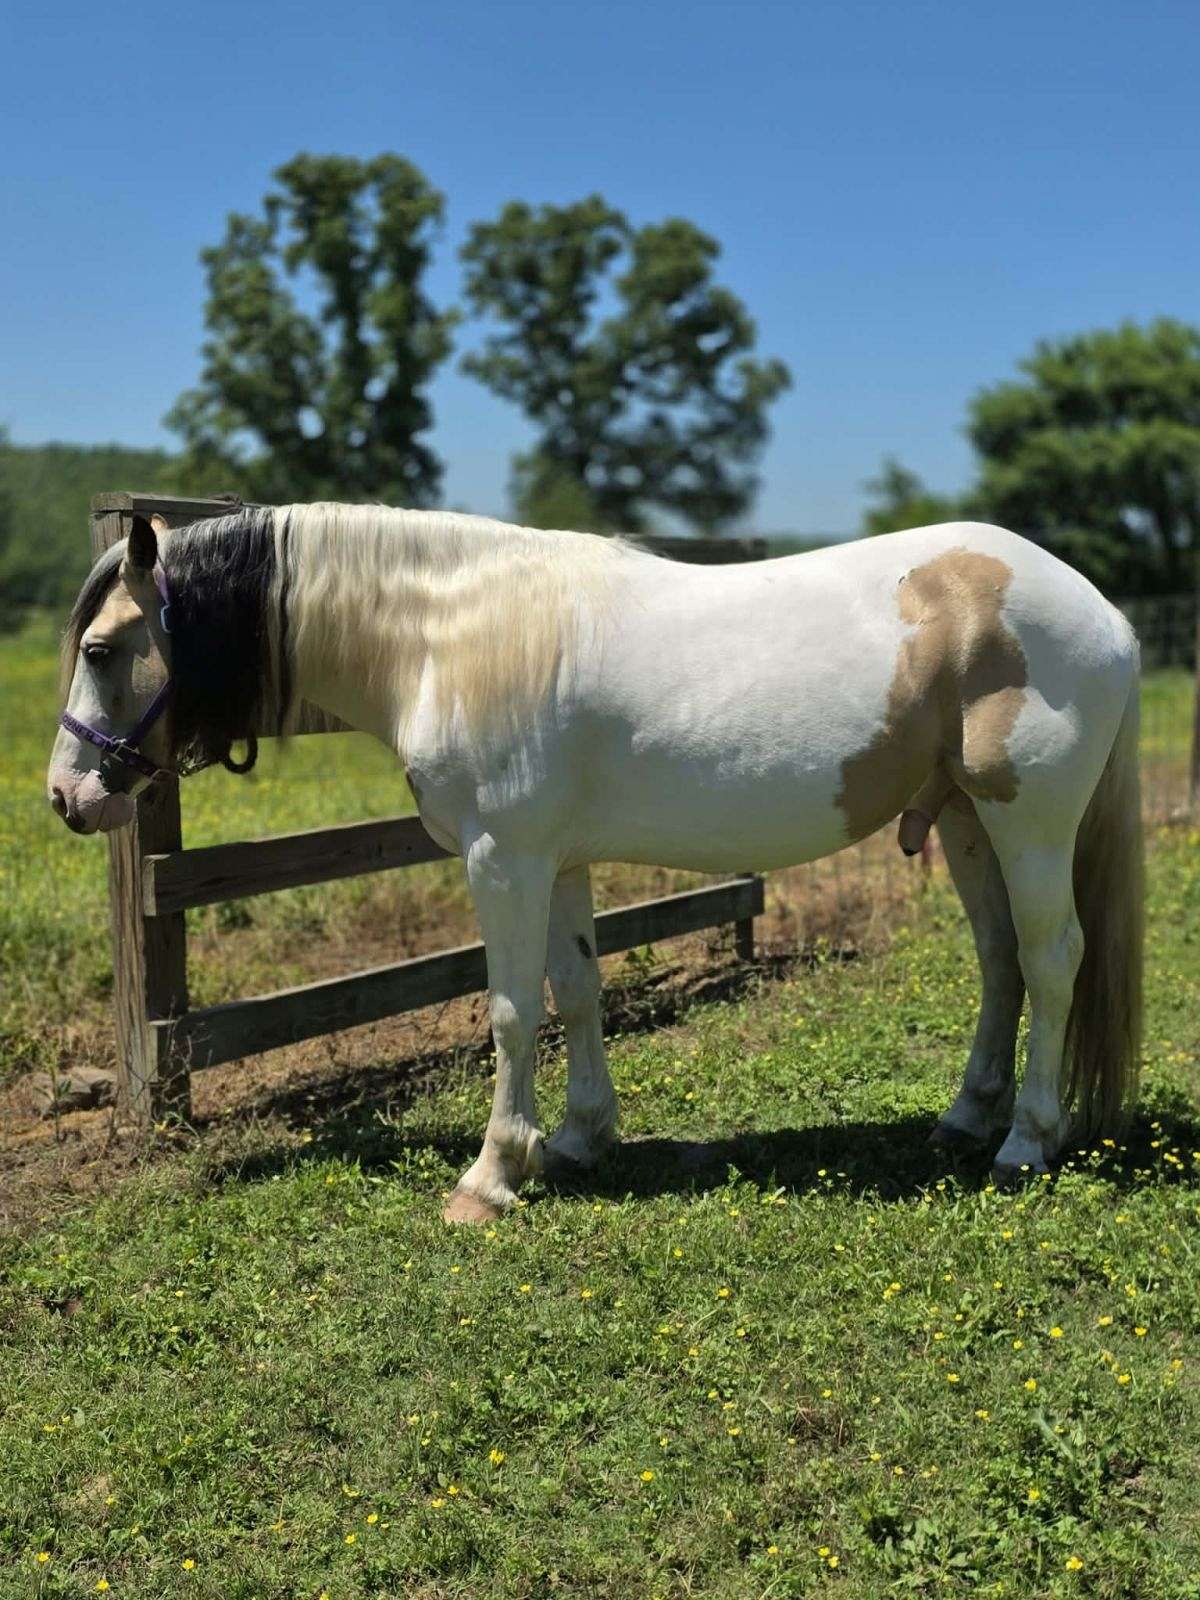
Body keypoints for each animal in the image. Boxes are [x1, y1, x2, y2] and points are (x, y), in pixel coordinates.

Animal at [48, 504, 1143, 1222]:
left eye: (102, 650)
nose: (67, 797)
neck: (452, 637)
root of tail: (1106, 612)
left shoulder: (503, 860)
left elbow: (508, 1010)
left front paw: (491, 1175)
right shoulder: (556, 861)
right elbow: (576, 991)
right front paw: (577, 1139)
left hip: (1029, 822)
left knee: (1052, 958)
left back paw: (1024, 1143)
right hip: (965, 821)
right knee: (1000, 960)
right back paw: (965, 1119)